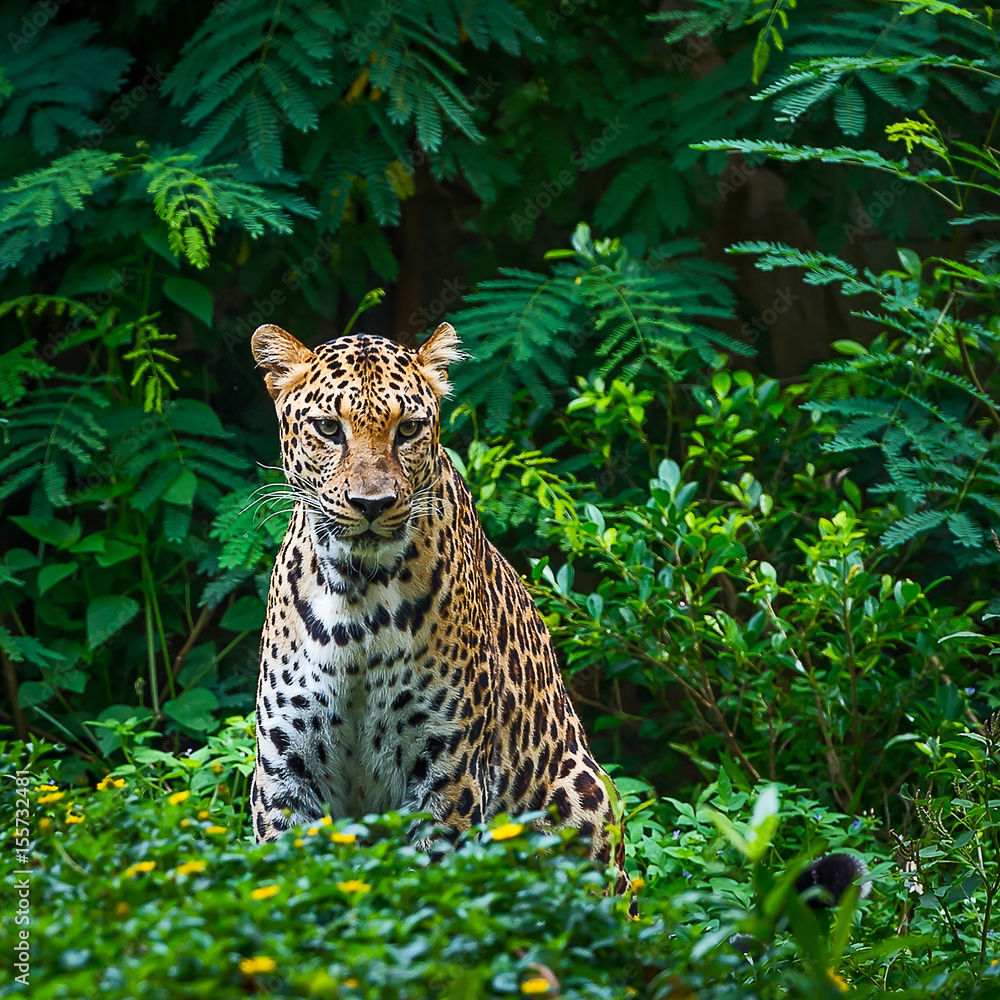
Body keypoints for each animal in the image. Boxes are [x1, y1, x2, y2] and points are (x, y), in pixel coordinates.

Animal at [247, 320, 631, 900]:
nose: (372, 504)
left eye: (408, 429)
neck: (358, 593)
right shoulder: (287, 776)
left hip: (585, 793)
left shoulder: (446, 772)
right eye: (328, 428)